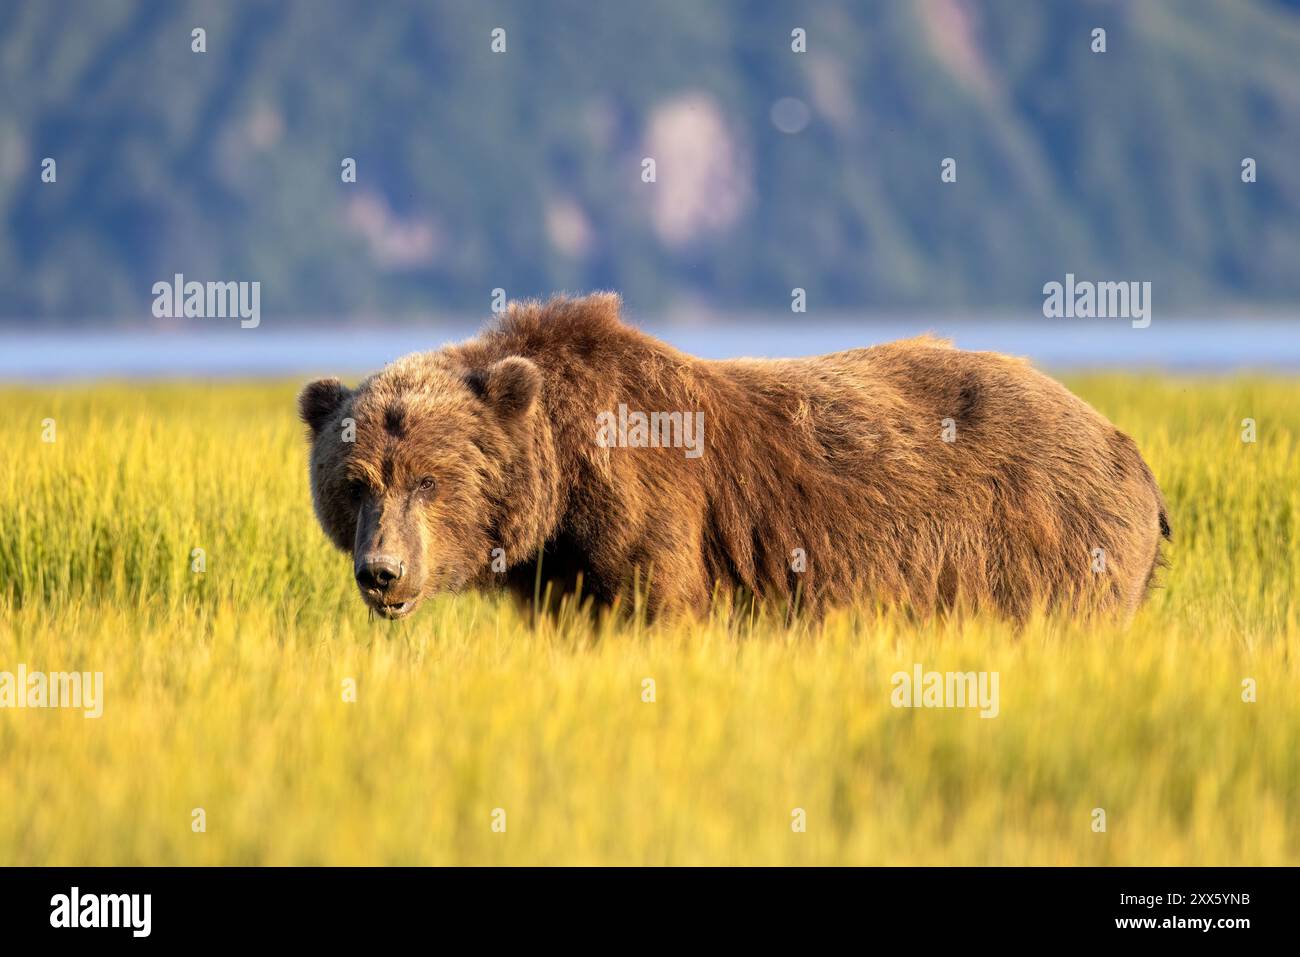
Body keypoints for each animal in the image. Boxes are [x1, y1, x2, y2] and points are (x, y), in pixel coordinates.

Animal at [298, 292, 1169, 622]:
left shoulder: (652, 514)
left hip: (1046, 540)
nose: (382, 572)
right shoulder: (563, 567)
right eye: (356, 482)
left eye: (430, 479)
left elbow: (658, 604)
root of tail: (1127, 446)